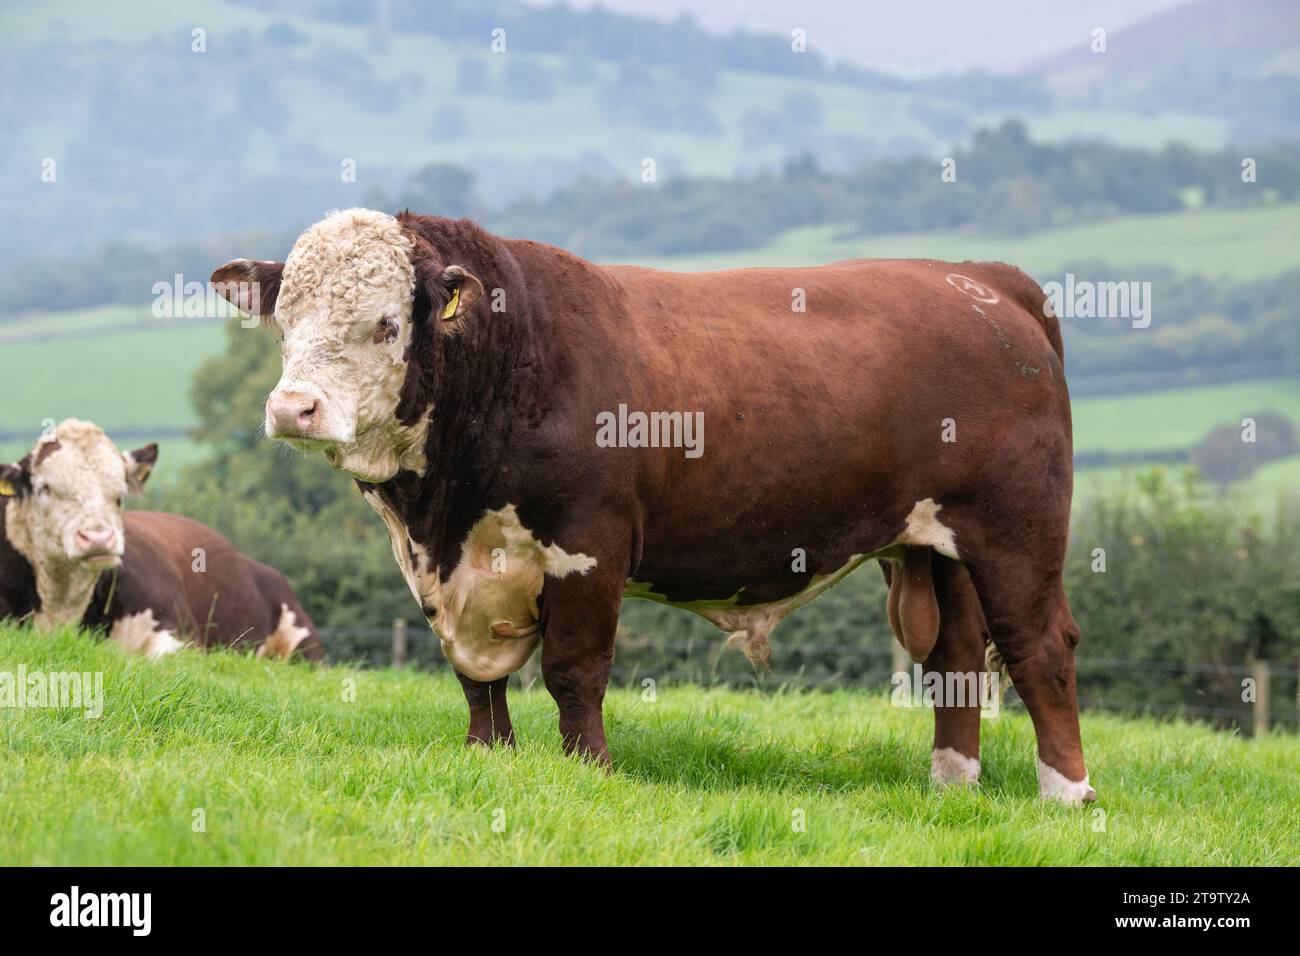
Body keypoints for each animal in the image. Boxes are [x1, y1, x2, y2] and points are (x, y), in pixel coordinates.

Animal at [211, 207, 1093, 804]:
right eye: (285, 321)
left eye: (386, 323)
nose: (293, 409)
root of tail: (981, 277)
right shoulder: (446, 574)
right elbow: (475, 679)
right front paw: (488, 758)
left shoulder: (587, 547)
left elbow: (573, 673)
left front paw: (590, 771)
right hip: (935, 545)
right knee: (955, 656)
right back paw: (952, 785)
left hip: (1015, 532)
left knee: (1040, 647)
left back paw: (1067, 794)